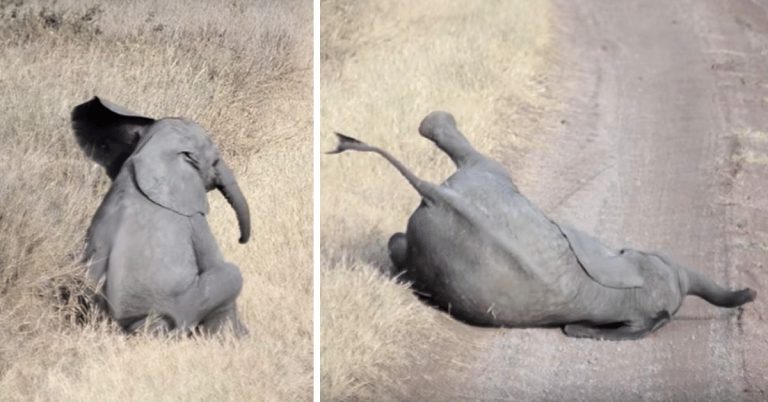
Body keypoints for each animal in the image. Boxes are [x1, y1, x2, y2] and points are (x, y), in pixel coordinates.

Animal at [72, 96, 250, 336]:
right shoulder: (192, 215)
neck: (151, 151)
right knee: (232, 275)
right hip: (179, 307)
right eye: (215, 161)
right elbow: (212, 260)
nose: (241, 239)